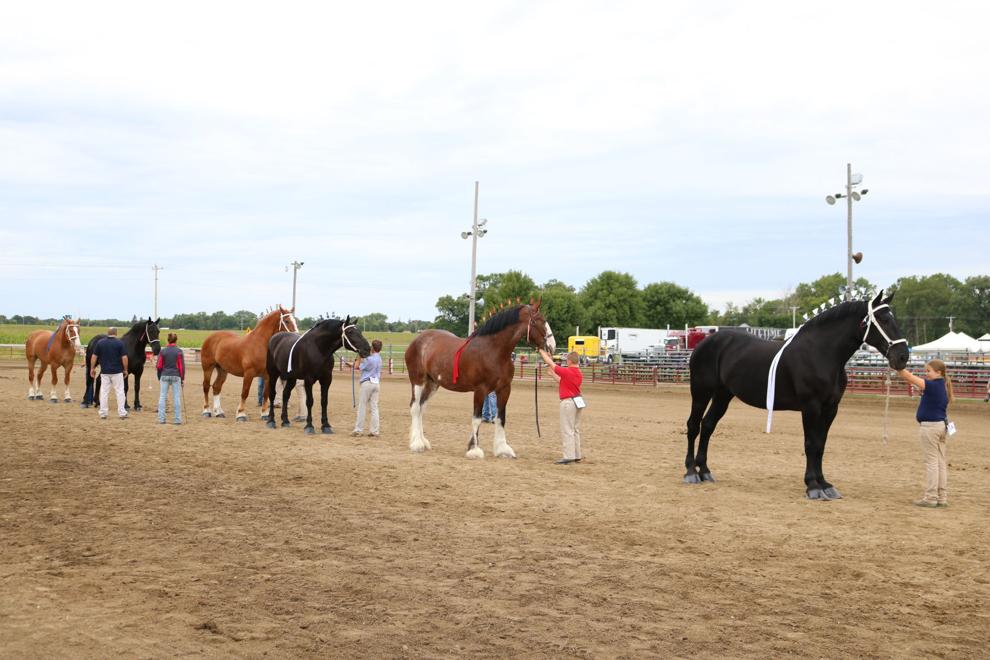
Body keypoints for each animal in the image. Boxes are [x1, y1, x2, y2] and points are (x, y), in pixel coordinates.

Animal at [404, 300, 555, 459]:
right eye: (539, 321)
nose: (552, 346)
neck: (493, 351)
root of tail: (418, 340)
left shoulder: (504, 389)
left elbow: (501, 418)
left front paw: (502, 449)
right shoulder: (480, 390)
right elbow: (476, 419)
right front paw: (474, 449)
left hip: (432, 384)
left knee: (421, 407)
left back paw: (423, 441)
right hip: (418, 381)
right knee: (415, 407)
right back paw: (416, 444)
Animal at [684, 289, 909, 500]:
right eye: (884, 320)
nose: (902, 357)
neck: (821, 353)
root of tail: (705, 343)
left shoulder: (831, 408)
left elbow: (820, 444)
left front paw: (825, 484)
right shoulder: (811, 407)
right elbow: (810, 444)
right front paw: (813, 486)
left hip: (723, 395)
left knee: (708, 425)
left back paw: (705, 471)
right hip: (701, 392)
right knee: (693, 425)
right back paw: (691, 472)